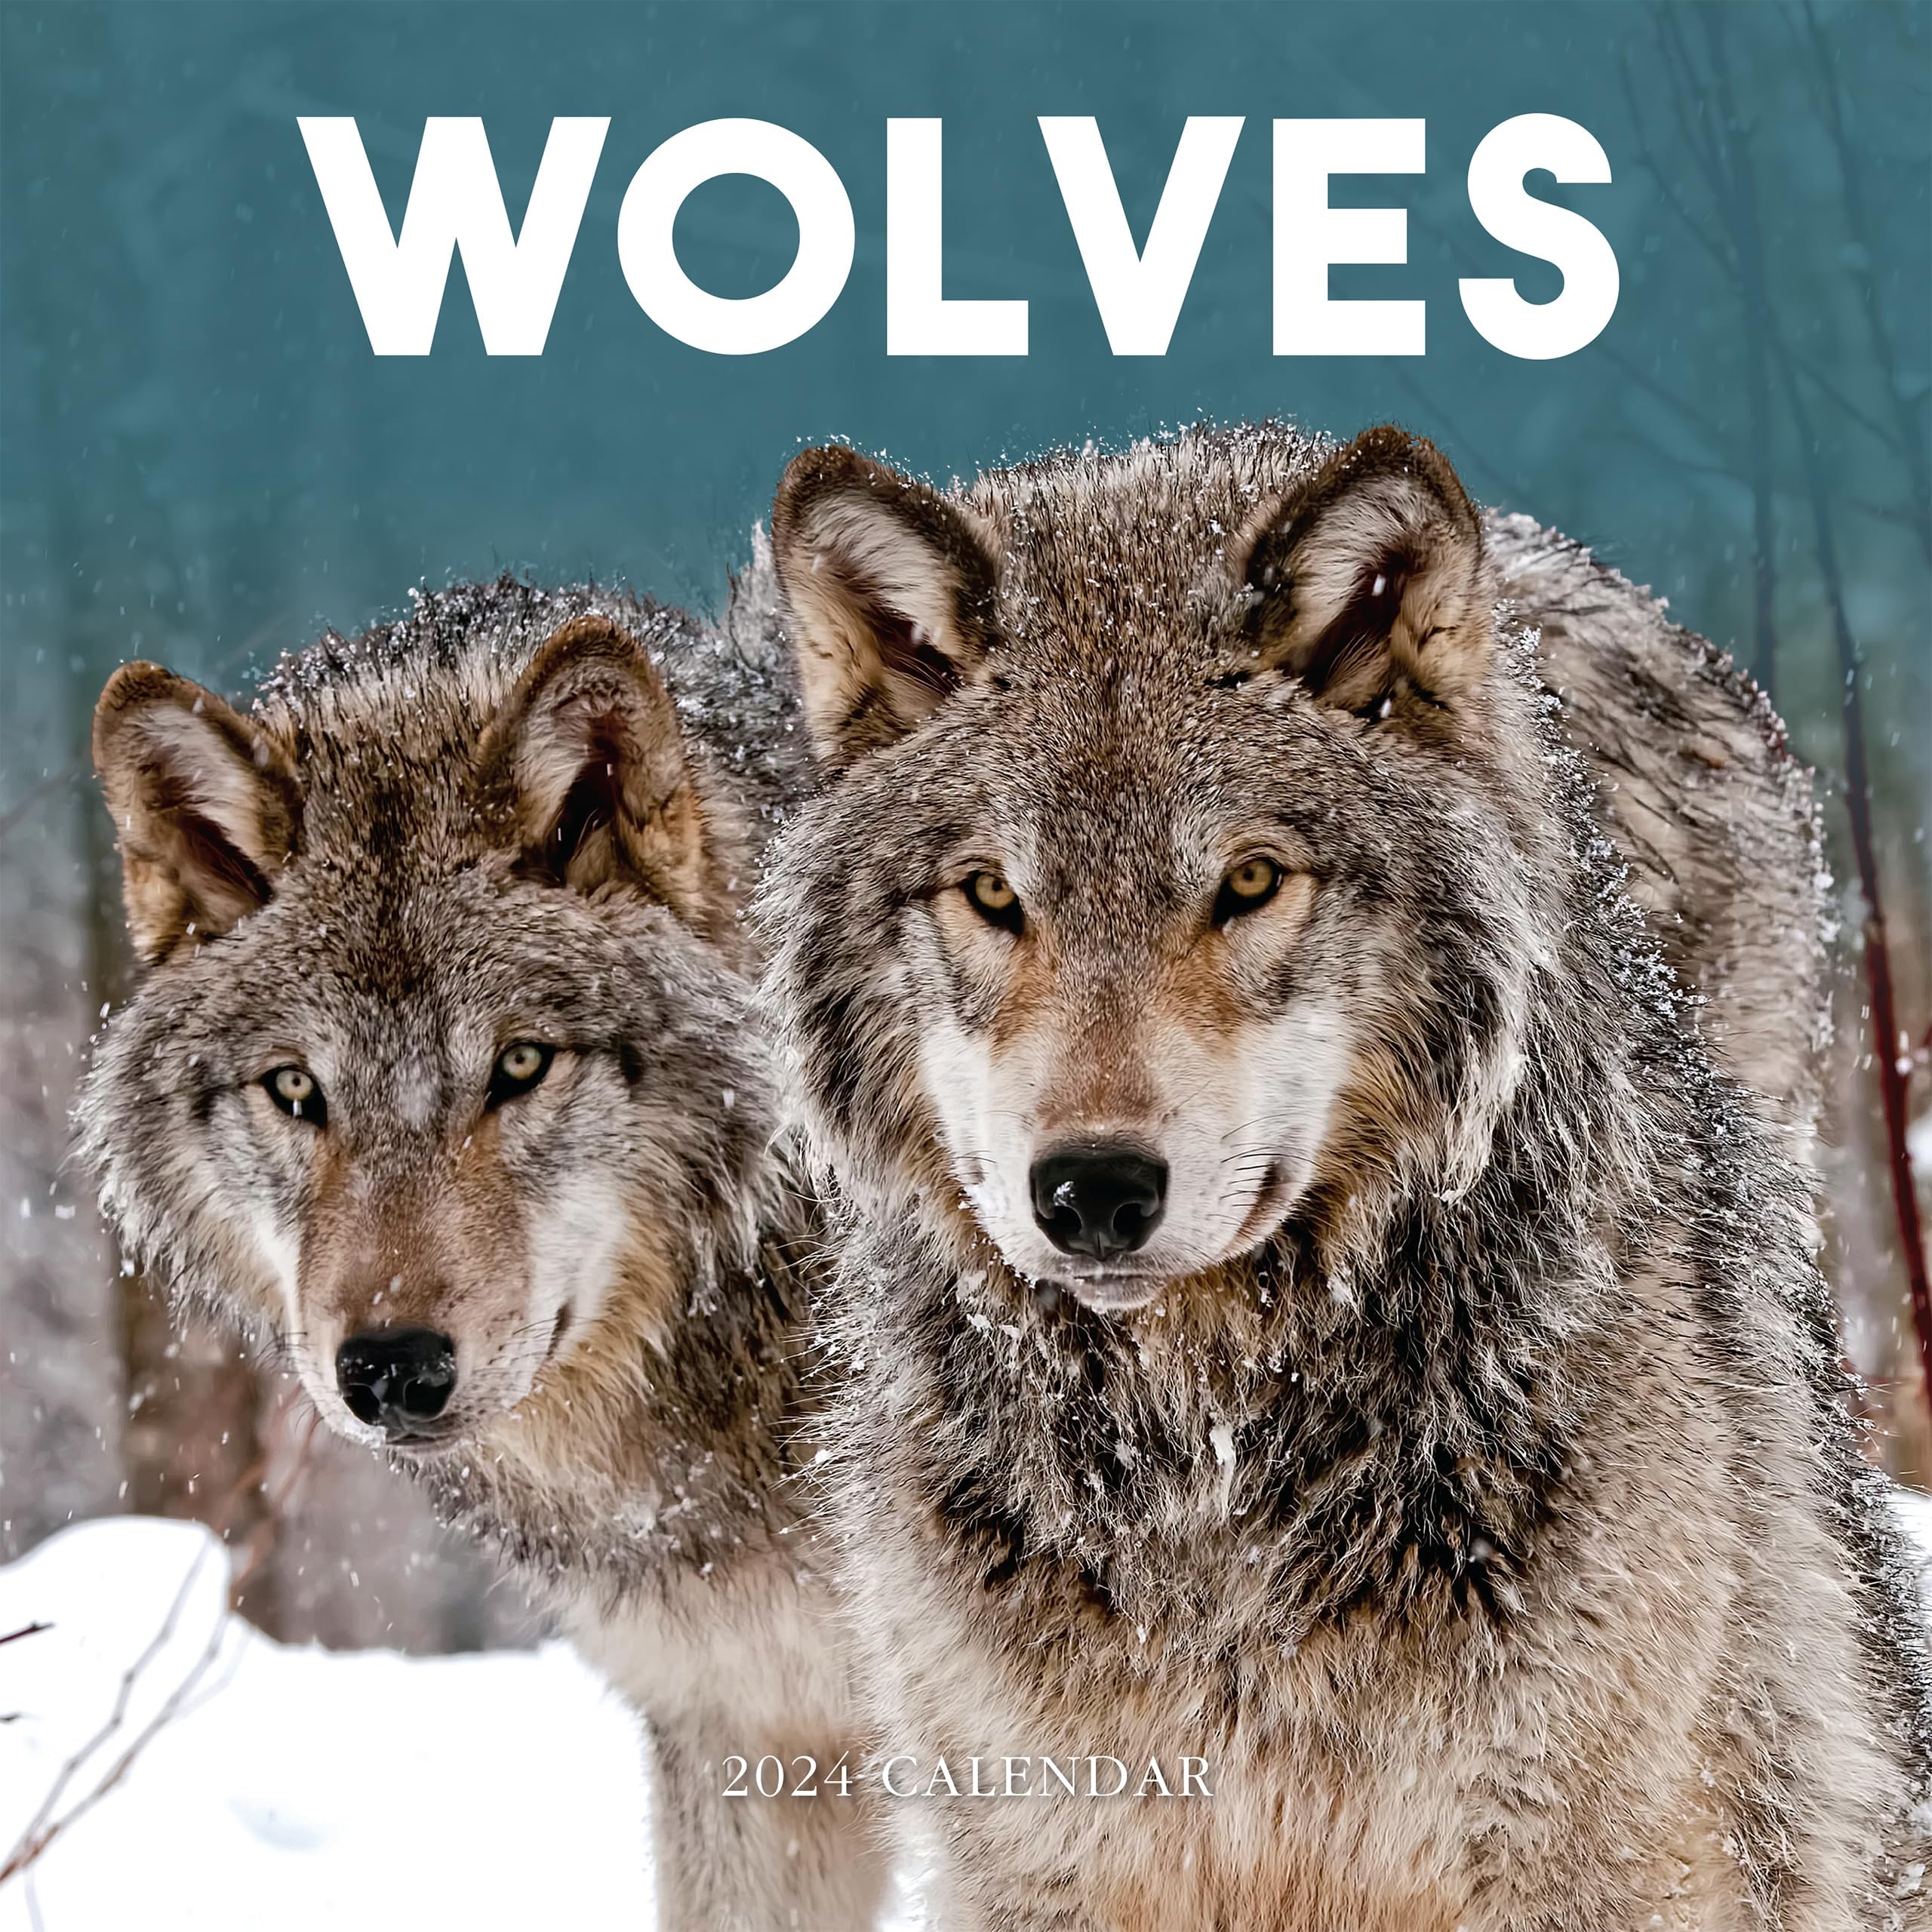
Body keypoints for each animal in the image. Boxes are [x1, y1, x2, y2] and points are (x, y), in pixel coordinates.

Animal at [762, 422, 1931, 1930]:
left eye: (1251, 881)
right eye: (994, 896)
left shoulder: (1604, 1869)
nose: (1091, 1190)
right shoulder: (1047, 1860)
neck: (1207, 1464)